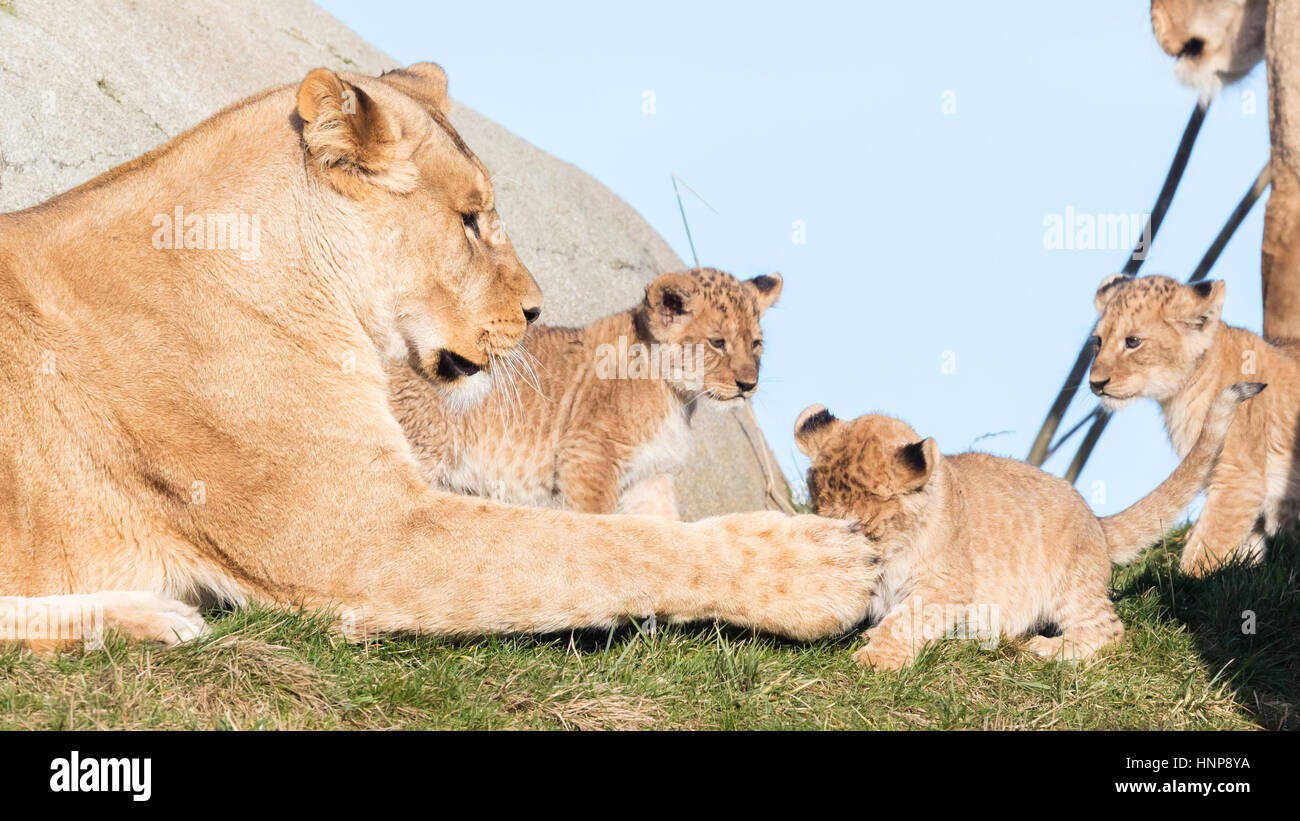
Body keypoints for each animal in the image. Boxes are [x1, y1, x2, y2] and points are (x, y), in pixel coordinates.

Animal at [388, 267, 781, 518]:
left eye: (756, 344)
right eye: (718, 342)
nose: (748, 385)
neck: (678, 397)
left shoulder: (649, 475)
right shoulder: (589, 453)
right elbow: (598, 519)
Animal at [793, 381, 1262, 668]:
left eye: (865, 526)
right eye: (818, 510)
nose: (834, 553)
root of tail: (1096, 521)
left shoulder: (947, 586)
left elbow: (905, 618)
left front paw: (876, 658)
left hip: (1070, 586)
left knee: (1108, 631)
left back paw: (1045, 649)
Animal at [1091, 273, 1300, 575]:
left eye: (1133, 341)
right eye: (1097, 341)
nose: (1095, 383)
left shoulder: (1239, 477)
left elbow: (1209, 542)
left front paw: (1187, 577)